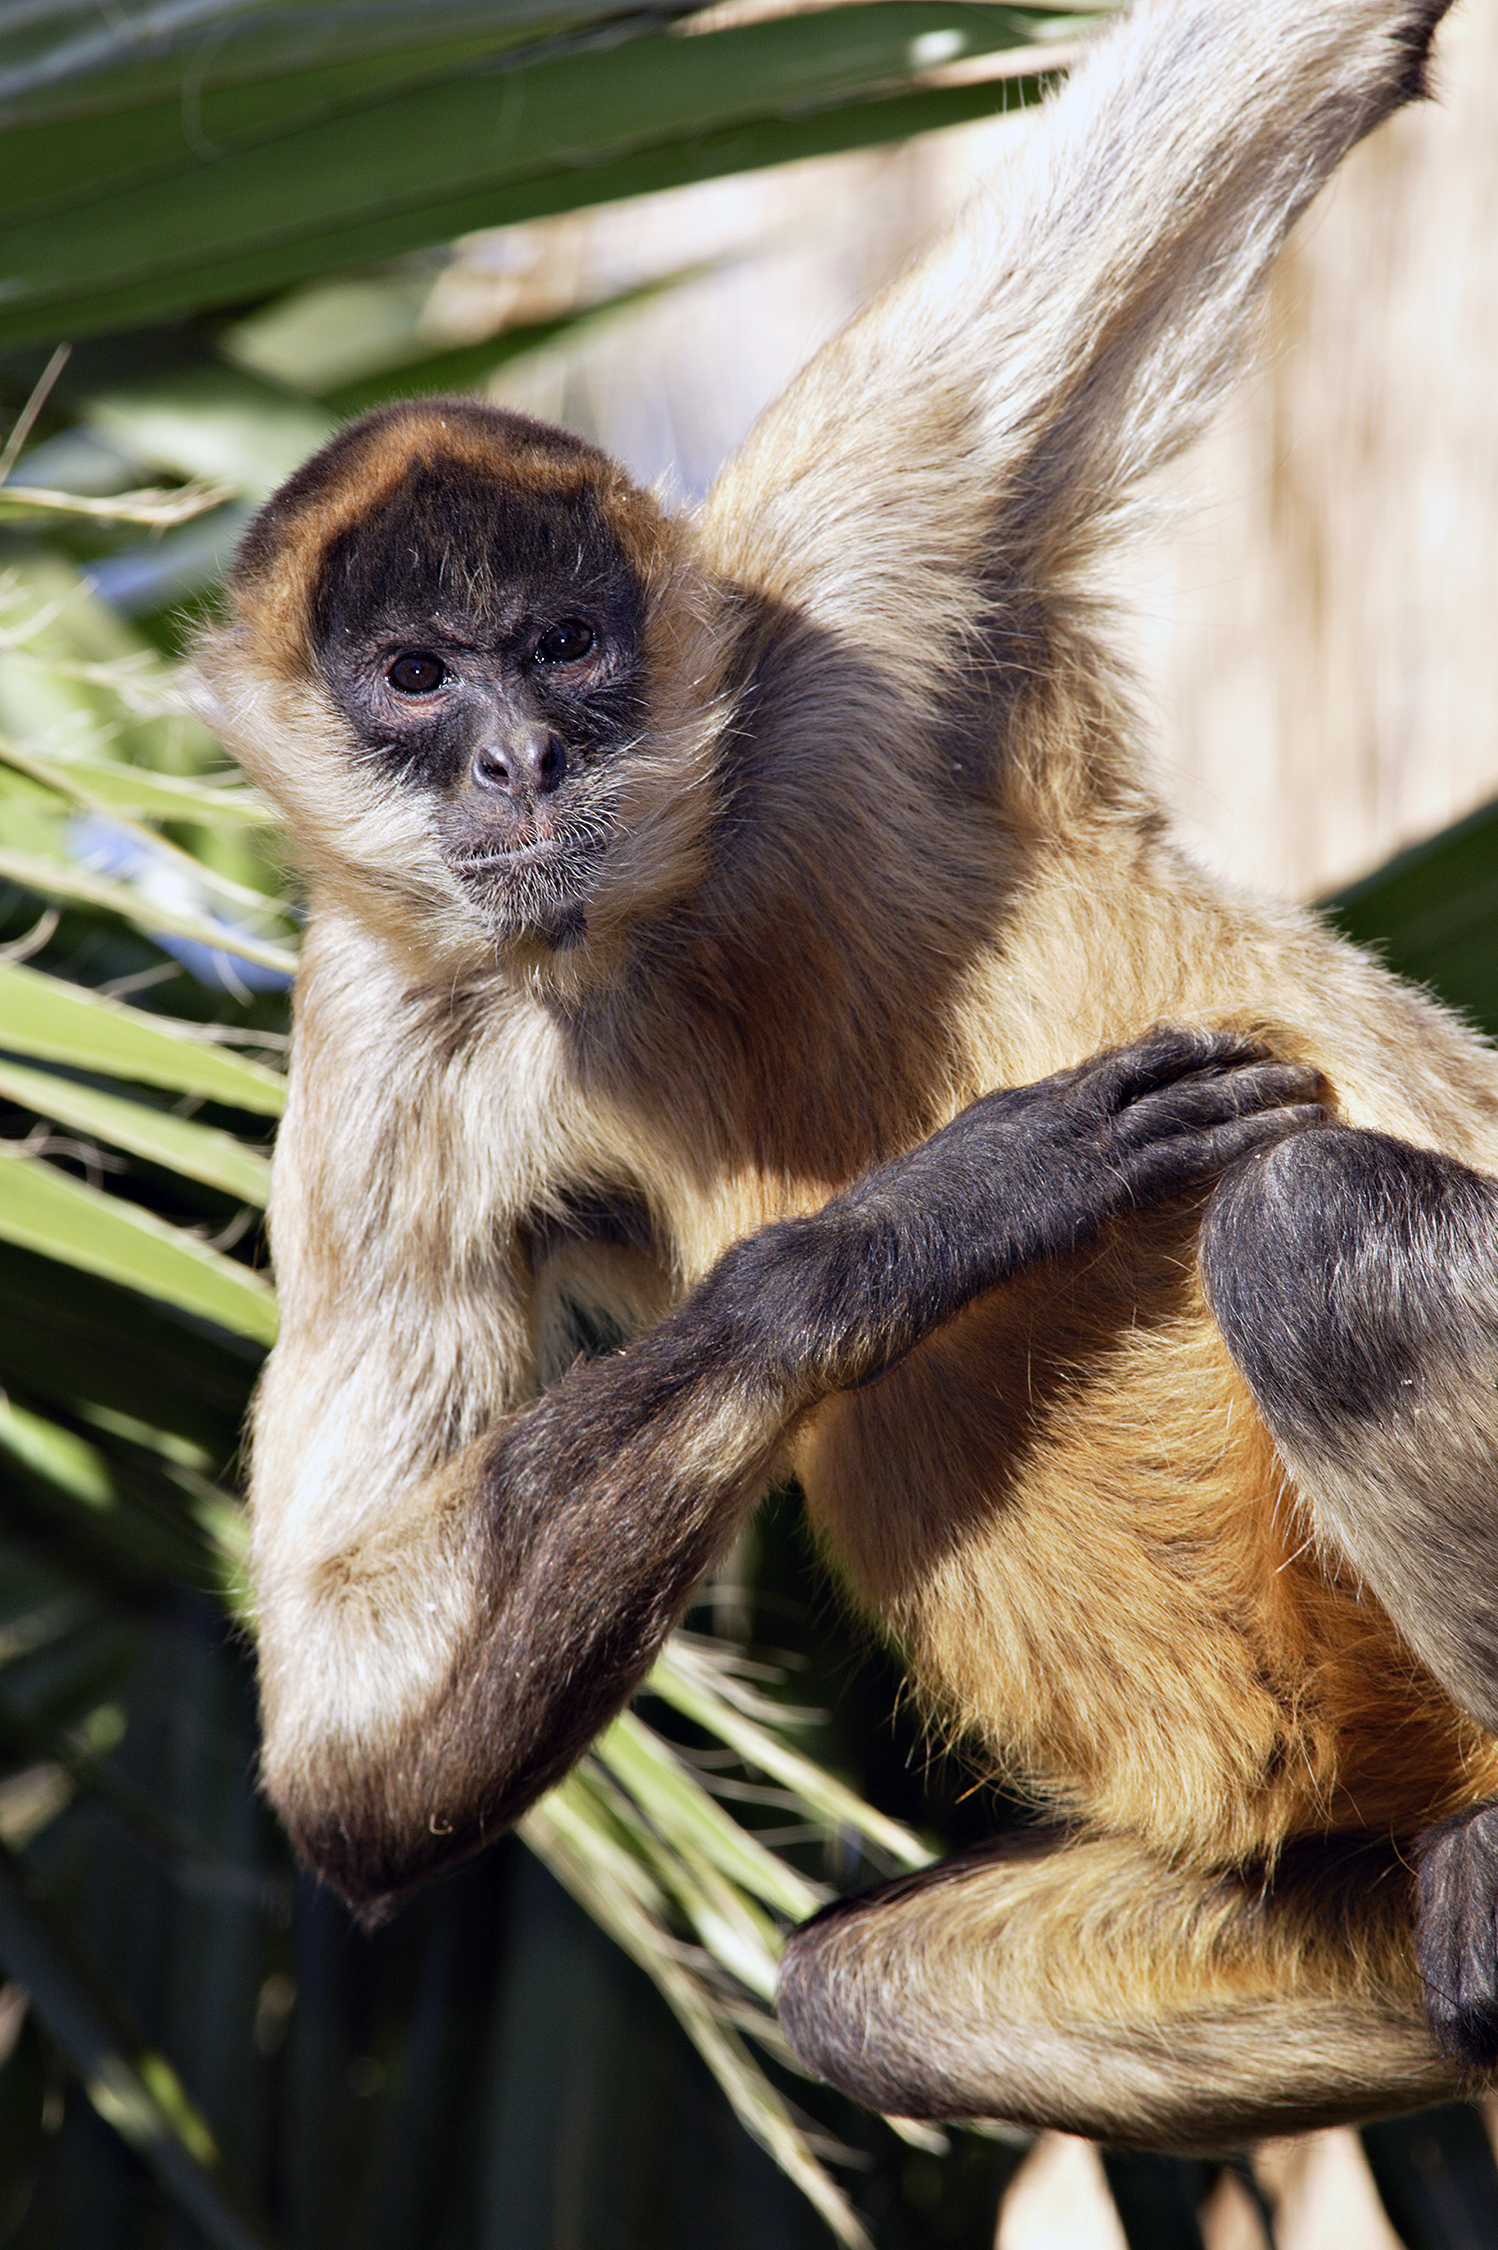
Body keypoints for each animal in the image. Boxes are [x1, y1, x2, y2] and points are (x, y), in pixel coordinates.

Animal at [183, 0, 1498, 2155]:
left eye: (565, 648)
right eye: (414, 681)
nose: (517, 762)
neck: (657, 923)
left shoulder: (832, 585)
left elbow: (1300, 55)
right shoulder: (391, 1011)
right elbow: (356, 1764)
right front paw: (928, 1219)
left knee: (1317, 1242)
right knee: (858, 1996)